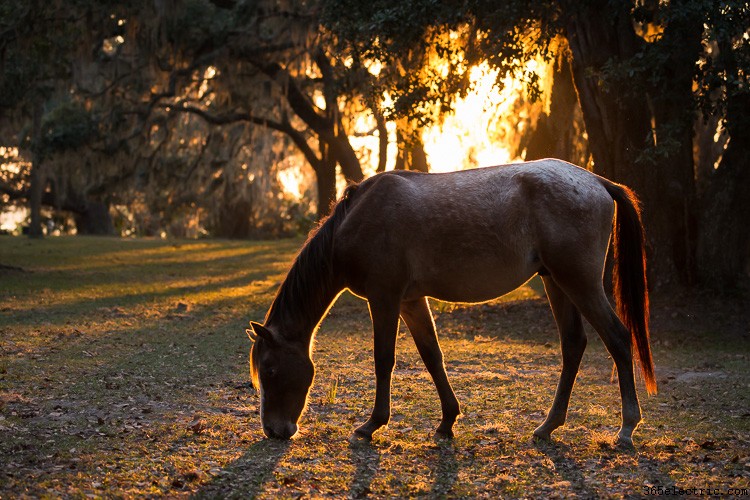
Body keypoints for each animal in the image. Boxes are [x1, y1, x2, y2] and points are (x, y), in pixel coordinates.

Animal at [248, 159, 656, 446]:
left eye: (270, 369)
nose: (273, 430)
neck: (357, 219)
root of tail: (598, 182)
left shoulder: (384, 298)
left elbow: (383, 360)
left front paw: (371, 425)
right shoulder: (411, 301)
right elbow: (432, 356)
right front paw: (447, 421)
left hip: (579, 283)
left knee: (619, 339)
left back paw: (626, 428)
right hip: (556, 282)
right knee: (573, 345)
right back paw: (548, 426)